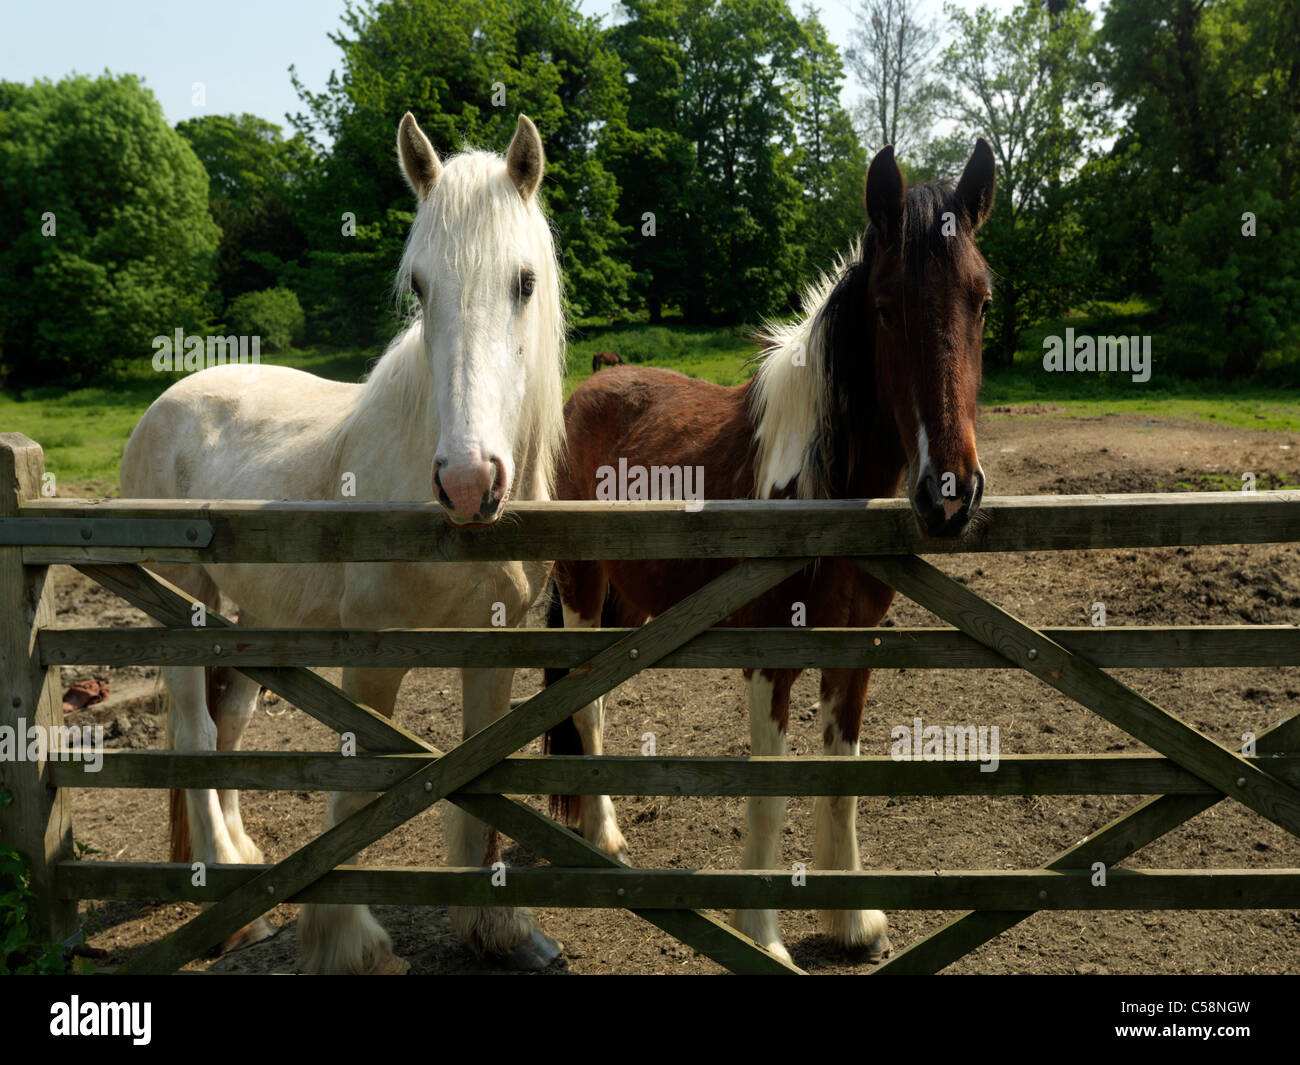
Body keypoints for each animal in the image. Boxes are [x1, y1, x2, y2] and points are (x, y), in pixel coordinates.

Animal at [120, 112, 567, 974]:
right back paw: (234, 901)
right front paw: (345, 939)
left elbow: (482, 776)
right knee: (196, 733)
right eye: (420, 288)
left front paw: (497, 928)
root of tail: (171, 398)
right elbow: (356, 790)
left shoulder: (494, 643)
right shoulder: (371, 657)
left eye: (524, 282)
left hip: (253, 619)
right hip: (183, 604)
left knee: (228, 729)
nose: (470, 482)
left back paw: (244, 865)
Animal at [547, 139, 996, 965]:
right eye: (887, 307)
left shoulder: (855, 648)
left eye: (980, 301)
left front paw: (853, 922)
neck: (824, 493)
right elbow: (771, 790)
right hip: (583, 590)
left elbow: (840, 777)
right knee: (585, 708)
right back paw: (604, 838)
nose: (950, 497)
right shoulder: (769, 656)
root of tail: (592, 385)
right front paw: (763, 934)